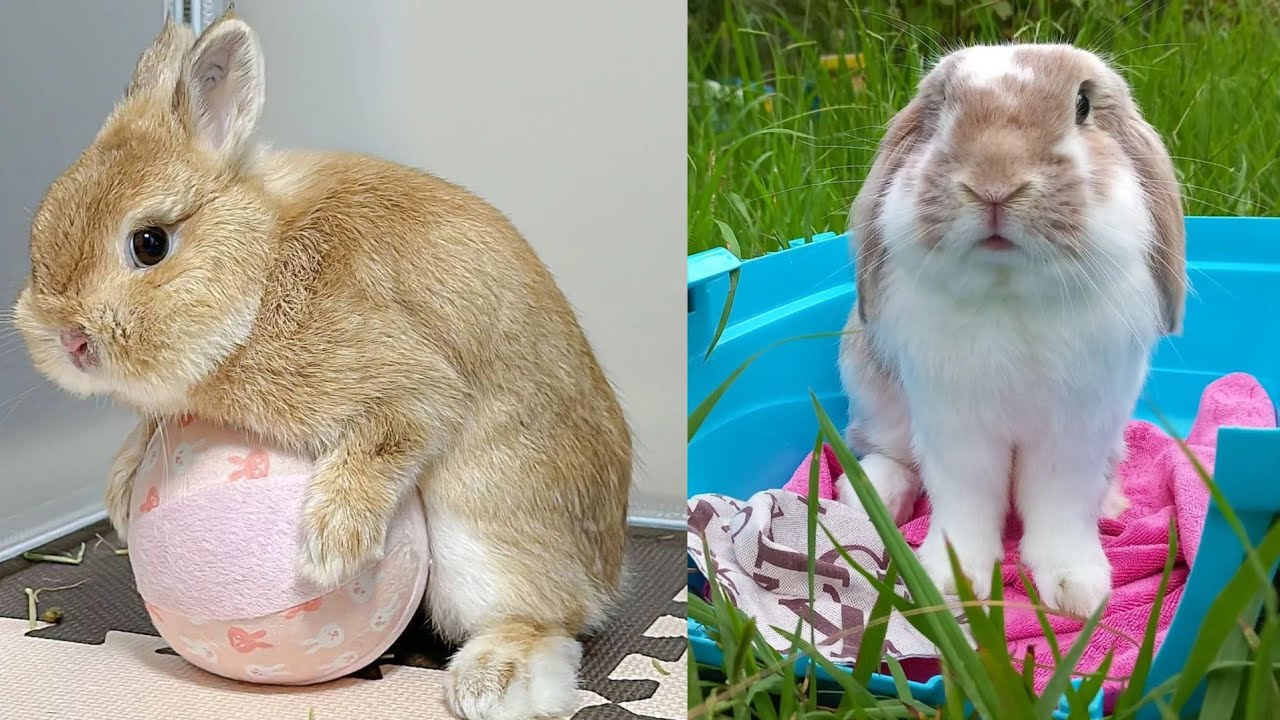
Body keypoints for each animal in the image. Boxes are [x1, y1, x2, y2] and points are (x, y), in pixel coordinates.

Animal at [12, 14, 631, 720]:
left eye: (149, 244)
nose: (67, 338)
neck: (260, 269)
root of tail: (608, 568)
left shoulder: (410, 380)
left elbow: (398, 424)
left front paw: (333, 544)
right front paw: (119, 487)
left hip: (483, 536)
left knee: (549, 619)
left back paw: (494, 683)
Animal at [835, 44, 1185, 617]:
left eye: (1083, 105)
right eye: (940, 108)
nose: (995, 184)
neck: (1010, 291)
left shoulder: (1077, 429)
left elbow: (1061, 506)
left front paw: (1077, 594)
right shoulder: (954, 425)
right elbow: (964, 500)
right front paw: (952, 585)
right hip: (876, 401)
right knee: (887, 451)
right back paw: (874, 491)